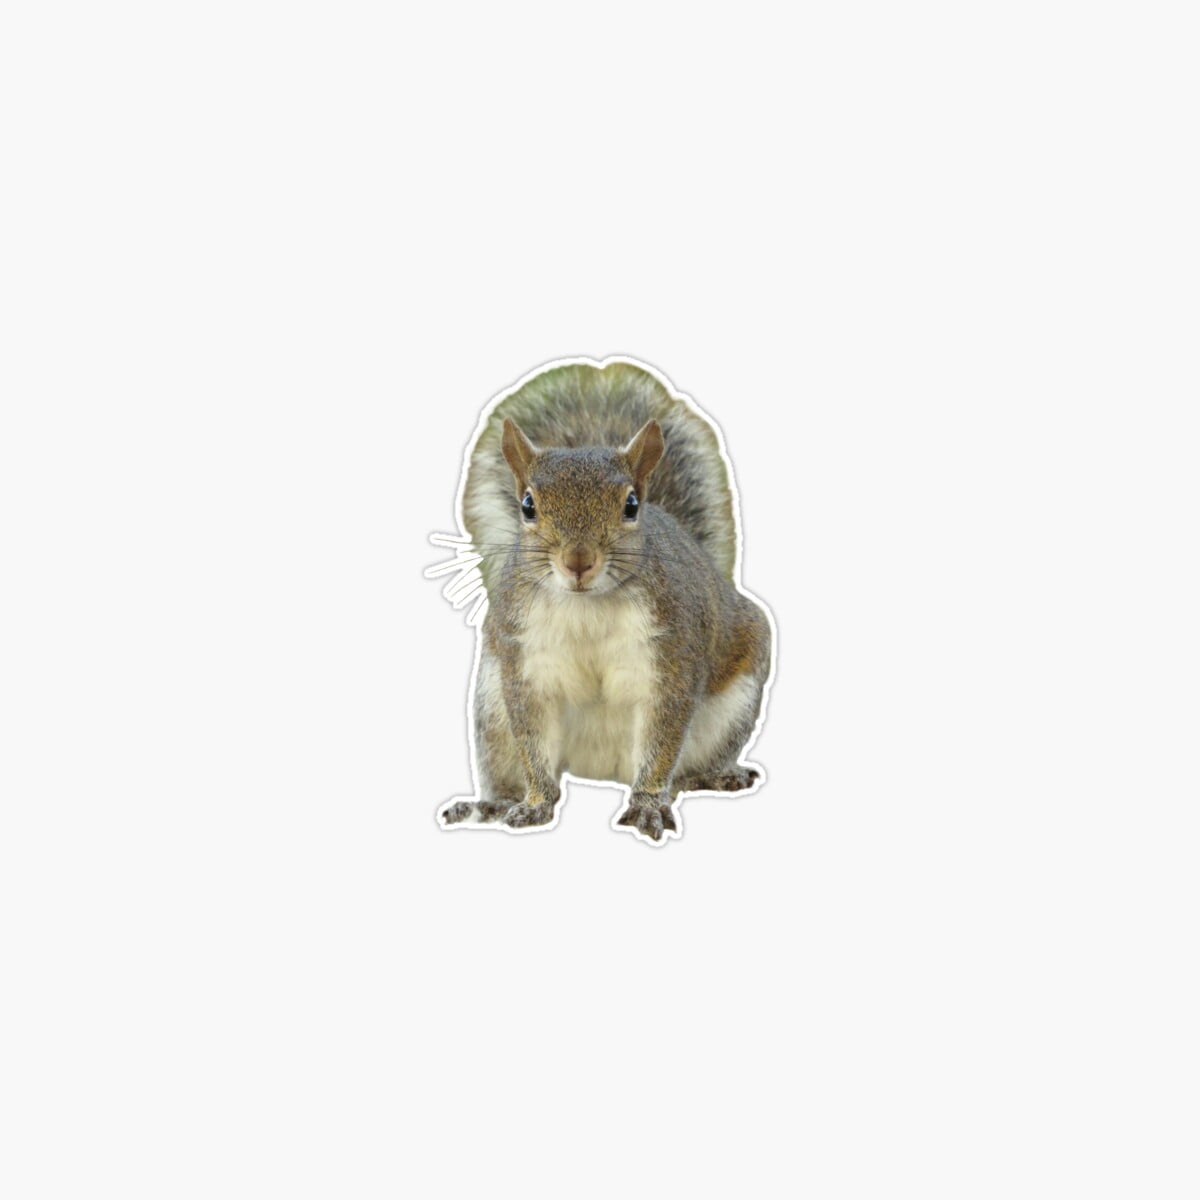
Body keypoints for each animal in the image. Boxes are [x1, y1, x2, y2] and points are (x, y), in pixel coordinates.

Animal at [436, 360, 773, 843]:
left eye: (631, 504)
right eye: (527, 505)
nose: (578, 561)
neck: (586, 606)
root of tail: (601, 770)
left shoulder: (671, 655)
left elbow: (663, 736)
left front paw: (647, 805)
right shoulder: (525, 663)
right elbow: (533, 738)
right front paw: (535, 804)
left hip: (732, 704)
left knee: (683, 769)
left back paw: (711, 776)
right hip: (492, 715)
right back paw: (492, 805)